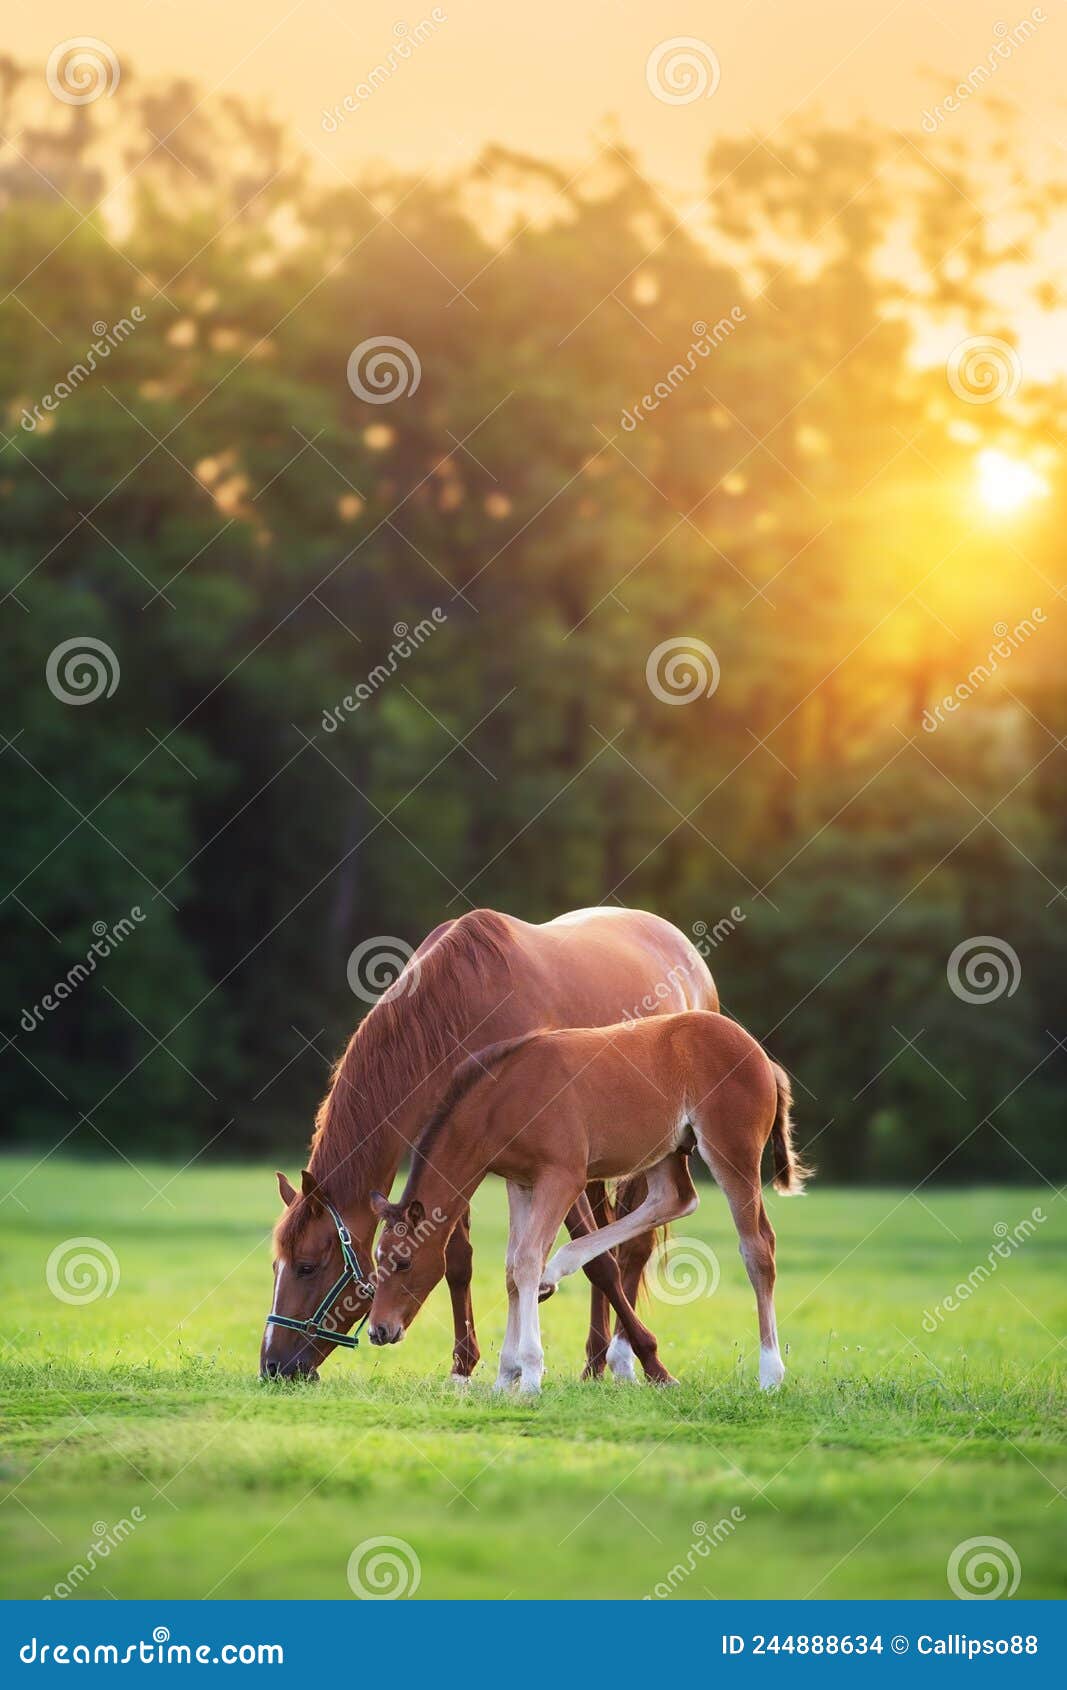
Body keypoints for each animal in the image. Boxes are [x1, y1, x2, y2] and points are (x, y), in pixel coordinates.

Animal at [261, 906, 718, 1380]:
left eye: (306, 1267)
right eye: (275, 1265)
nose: (273, 1364)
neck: (460, 1006)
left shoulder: (552, 1164)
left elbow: (600, 1264)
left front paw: (651, 1360)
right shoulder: (457, 1150)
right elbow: (458, 1260)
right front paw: (463, 1367)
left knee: (633, 1247)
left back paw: (620, 1355)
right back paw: (593, 1361)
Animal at [367, 1009, 809, 1394]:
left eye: (403, 1262)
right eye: (378, 1260)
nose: (378, 1330)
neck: (502, 1098)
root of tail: (760, 1055)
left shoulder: (562, 1176)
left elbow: (526, 1260)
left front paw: (530, 1375)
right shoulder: (520, 1182)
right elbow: (512, 1267)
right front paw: (506, 1375)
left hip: (732, 1150)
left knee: (757, 1247)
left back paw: (770, 1374)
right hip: (667, 1151)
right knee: (676, 1198)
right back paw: (556, 1272)